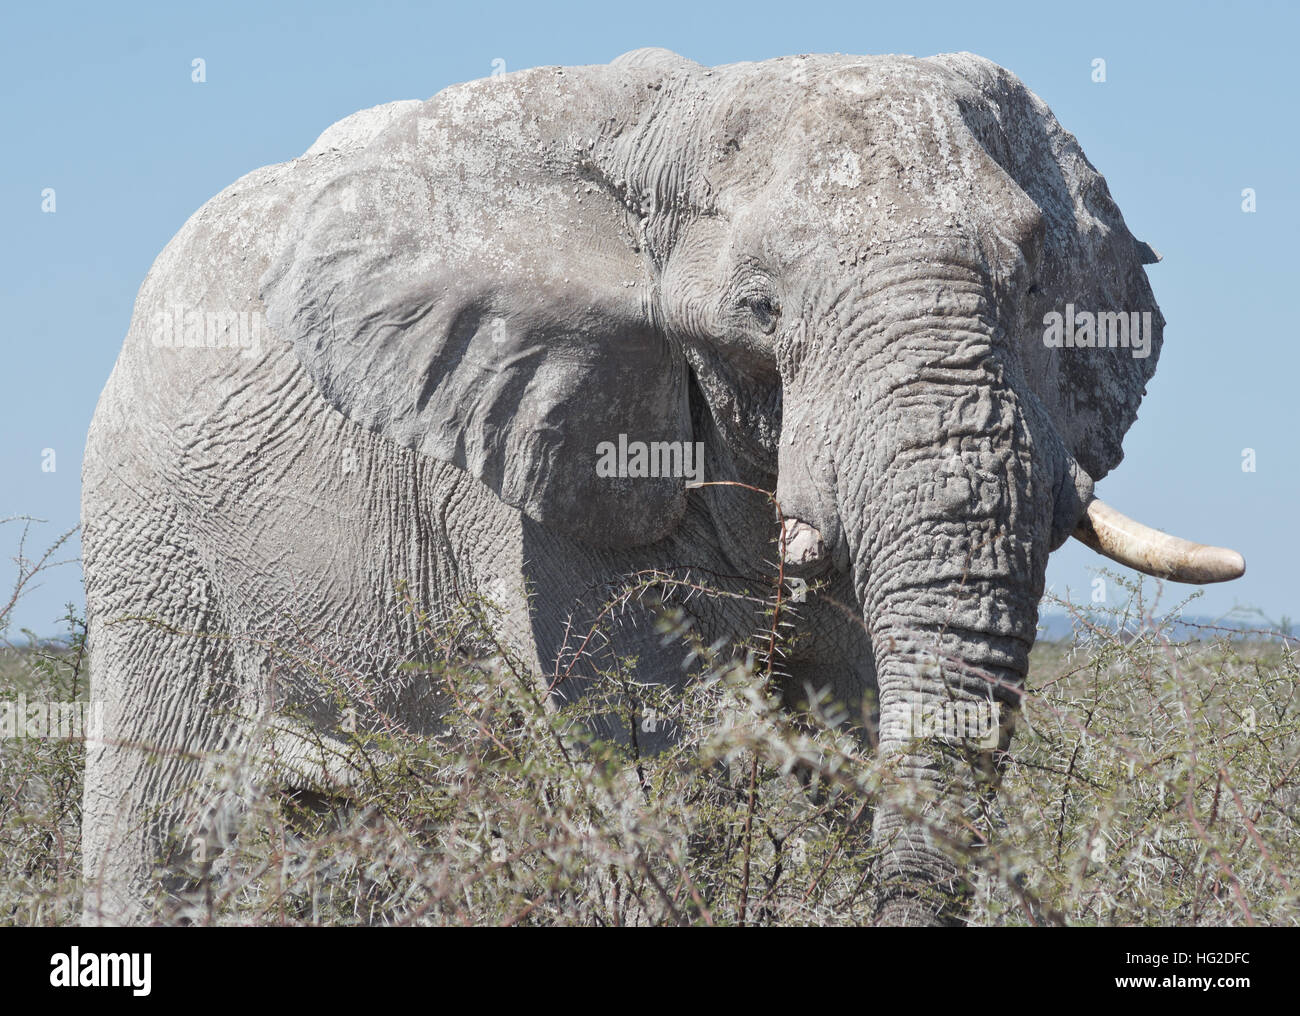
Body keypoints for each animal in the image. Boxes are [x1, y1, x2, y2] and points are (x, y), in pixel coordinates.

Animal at [80, 47, 1244, 925]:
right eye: (760, 310)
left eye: (1036, 277)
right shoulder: (530, 463)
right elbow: (658, 759)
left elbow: (853, 718)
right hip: (148, 520)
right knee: (160, 807)